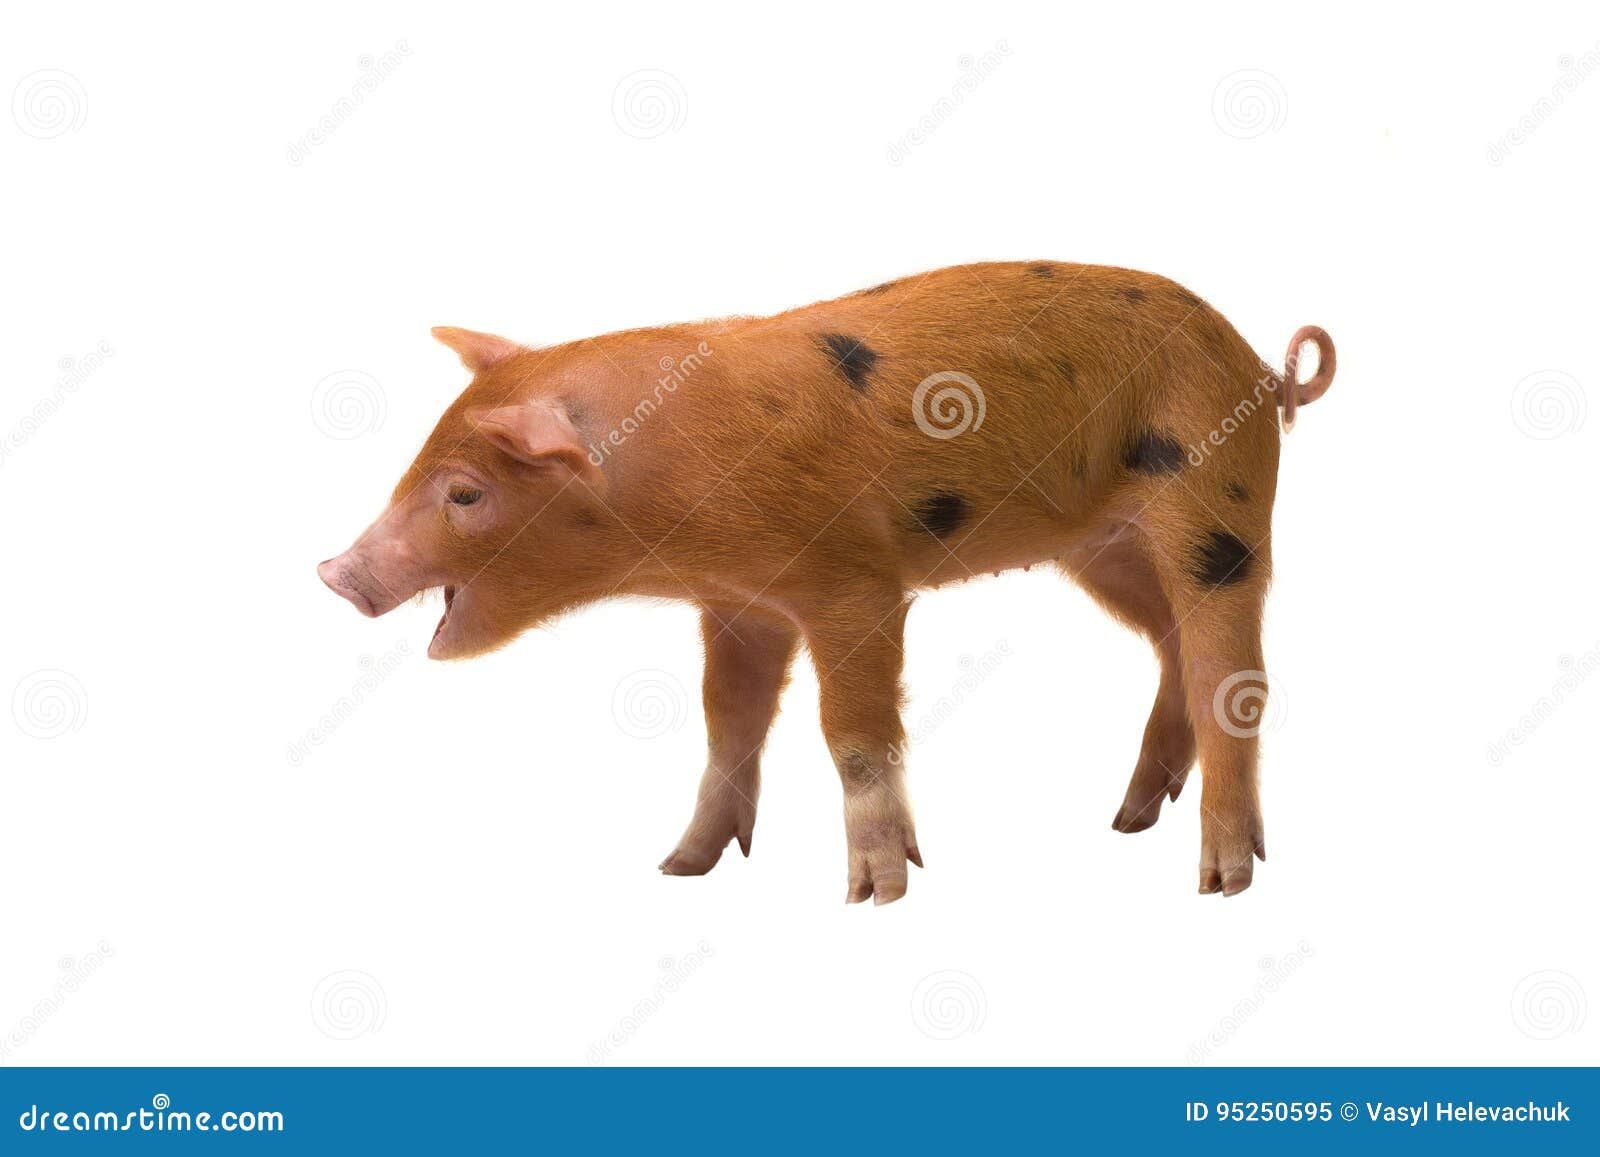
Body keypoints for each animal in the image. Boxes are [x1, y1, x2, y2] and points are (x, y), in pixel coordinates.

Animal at [318, 261, 1336, 904]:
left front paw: (875, 893)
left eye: (465, 491)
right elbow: (728, 721)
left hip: (1219, 505)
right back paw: (1126, 820)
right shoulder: (738, 603)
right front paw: (679, 869)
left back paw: (1219, 878)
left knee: (1234, 675)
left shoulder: (855, 582)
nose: (334, 572)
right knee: (1172, 646)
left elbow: (851, 731)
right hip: (1106, 545)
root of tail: (1261, 369)